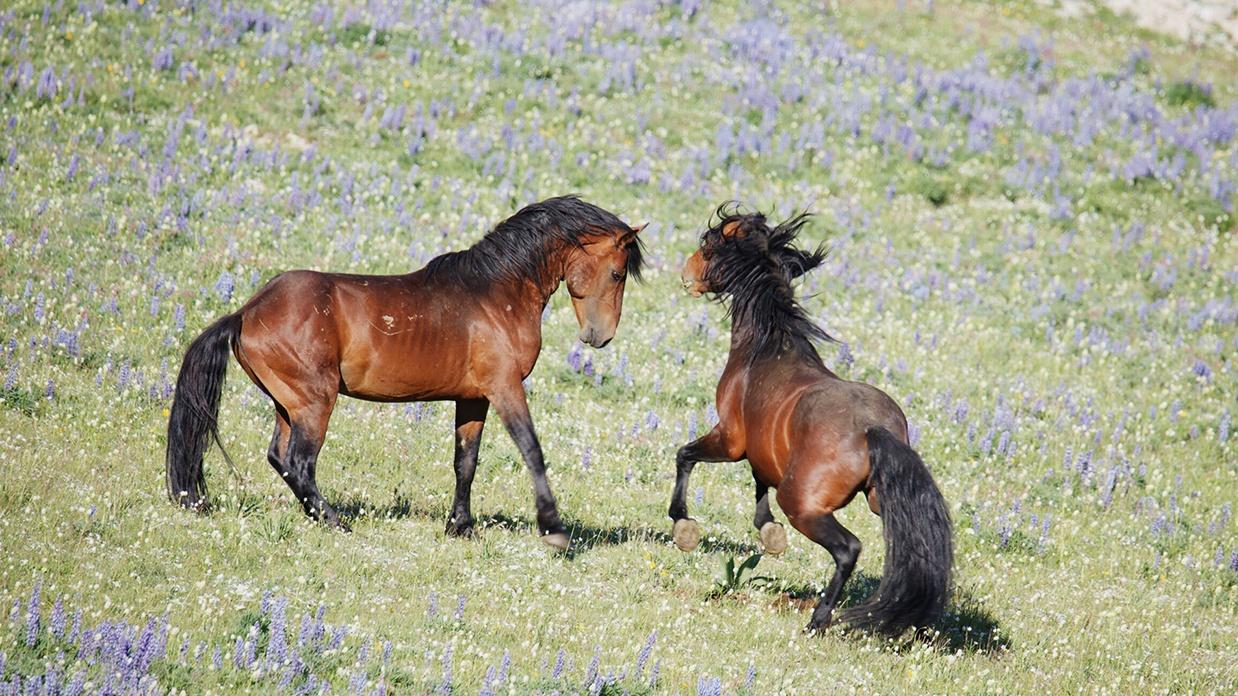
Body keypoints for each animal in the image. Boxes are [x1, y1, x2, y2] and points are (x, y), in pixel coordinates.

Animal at [166, 196, 645, 550]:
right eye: (617, 273)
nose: (599, 337)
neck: (495, 294)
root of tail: (246, 312)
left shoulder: (473, 397)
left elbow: (465, 462)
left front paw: (460, 526)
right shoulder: (504, 388)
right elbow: (532, 451)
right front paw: (554, 529)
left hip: (289, 404)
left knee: (280, 458)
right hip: (315, 402)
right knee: (300, 462)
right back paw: (336, 523)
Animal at [669, 205, 952, 635]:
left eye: (708, 245)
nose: (686, 273)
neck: (766, 347)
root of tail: (873, 429)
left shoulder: (731, 439)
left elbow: (685, 455)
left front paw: (683, 525)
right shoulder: (762, 449)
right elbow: (759, 480)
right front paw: (769, 533)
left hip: (802, 505)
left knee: (849, 549)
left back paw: (818, 620)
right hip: (880, 499)